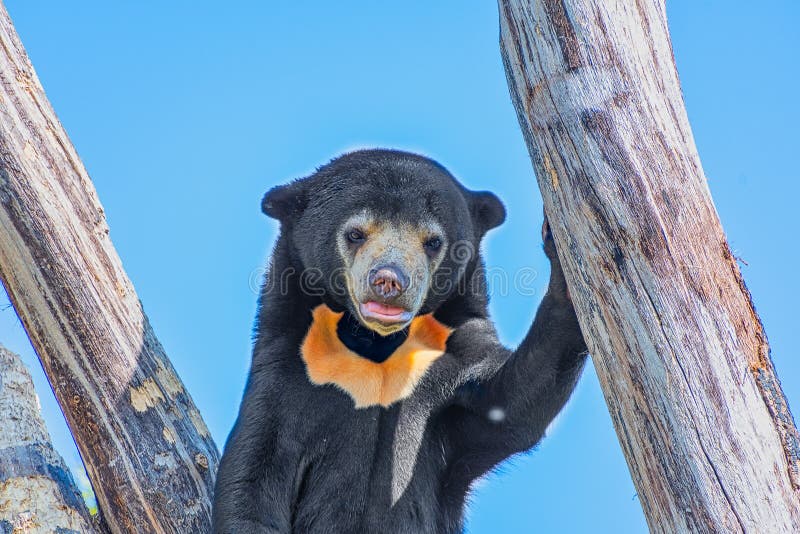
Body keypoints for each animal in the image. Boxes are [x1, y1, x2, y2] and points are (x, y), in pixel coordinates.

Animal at [212, 149, 587, 533]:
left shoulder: (450, 359)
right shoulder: (290, 370)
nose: (389, 281)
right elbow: (255, 473)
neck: (376, 346)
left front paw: (563, 253)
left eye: (433, 241)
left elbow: (512, 404)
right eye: (356, 234)